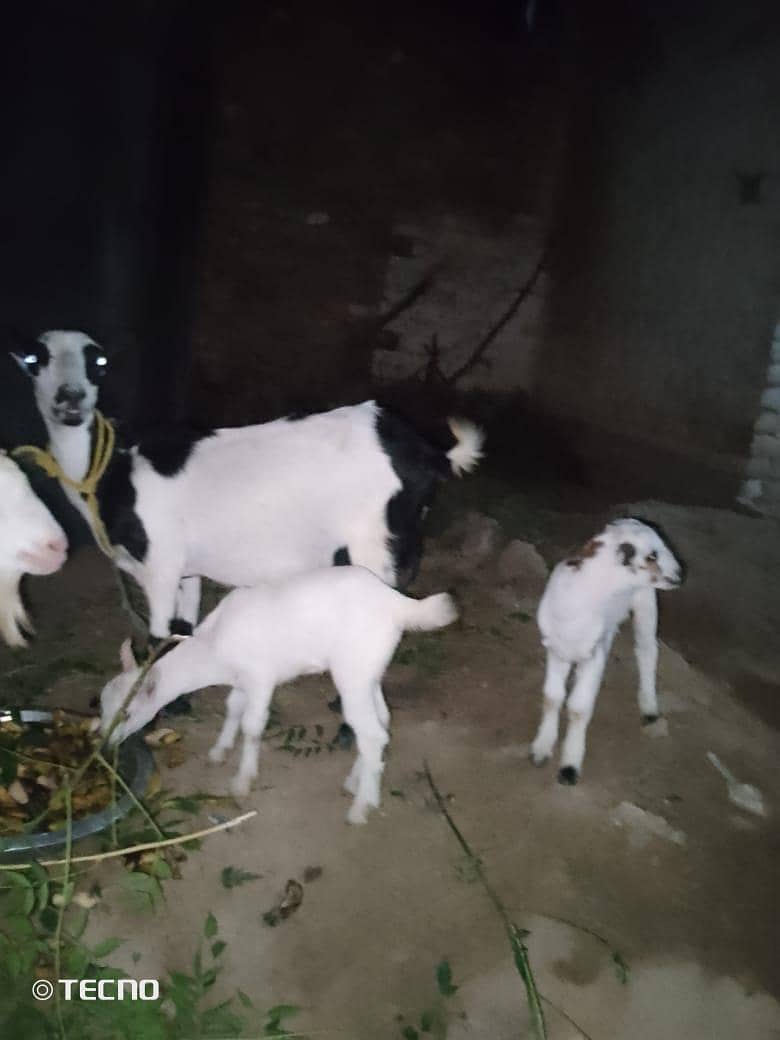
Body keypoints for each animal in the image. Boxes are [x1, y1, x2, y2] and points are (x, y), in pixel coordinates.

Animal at [10, 330, 484, 640]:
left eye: (99, 363)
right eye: (35, 361)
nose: (70, 399)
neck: (111, 472)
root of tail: (427, 454)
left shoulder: (160, 563)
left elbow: (158, 635)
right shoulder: (186, 566)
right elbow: (182, 631)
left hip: (378, 543)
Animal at [100, 565, 458, 823]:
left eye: (127, 713)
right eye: (101, 706)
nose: (104, 745)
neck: (214, 647)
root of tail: (399, 604)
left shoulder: (261, 678)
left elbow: (252, 726)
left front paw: (242, 781)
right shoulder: (242, 680)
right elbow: (232, 707)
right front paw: (219, 750)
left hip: (352, 670)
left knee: (370, 732)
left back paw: (361, 808)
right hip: (369, 670)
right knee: (382, 723)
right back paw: (356, 782)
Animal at [530, 518, 684, 785]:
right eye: (652, 555)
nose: (679, 574)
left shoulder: (593, 656)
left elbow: (578, 708)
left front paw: (569, 767)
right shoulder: (557, 651)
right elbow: (552, 697)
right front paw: (542, 747)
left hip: (645, 602)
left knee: (646, 650)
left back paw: (649, 709)